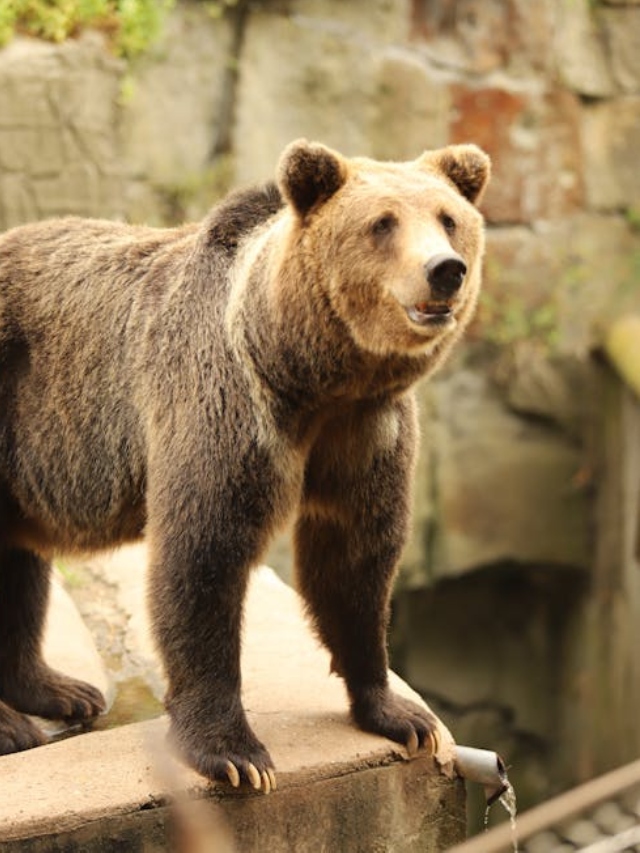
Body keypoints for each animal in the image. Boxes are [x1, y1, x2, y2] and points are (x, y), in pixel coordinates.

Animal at [0, 139, 490, 792]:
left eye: (449, 219)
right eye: (382, 223)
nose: (444, 270)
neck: (312, 378)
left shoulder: (367, 430)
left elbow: (355, 558)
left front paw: (401, 714)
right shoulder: (230, 408)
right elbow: (204, 558)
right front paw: (235, 754)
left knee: (19, 565)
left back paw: (57, 689)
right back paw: (15, 724)